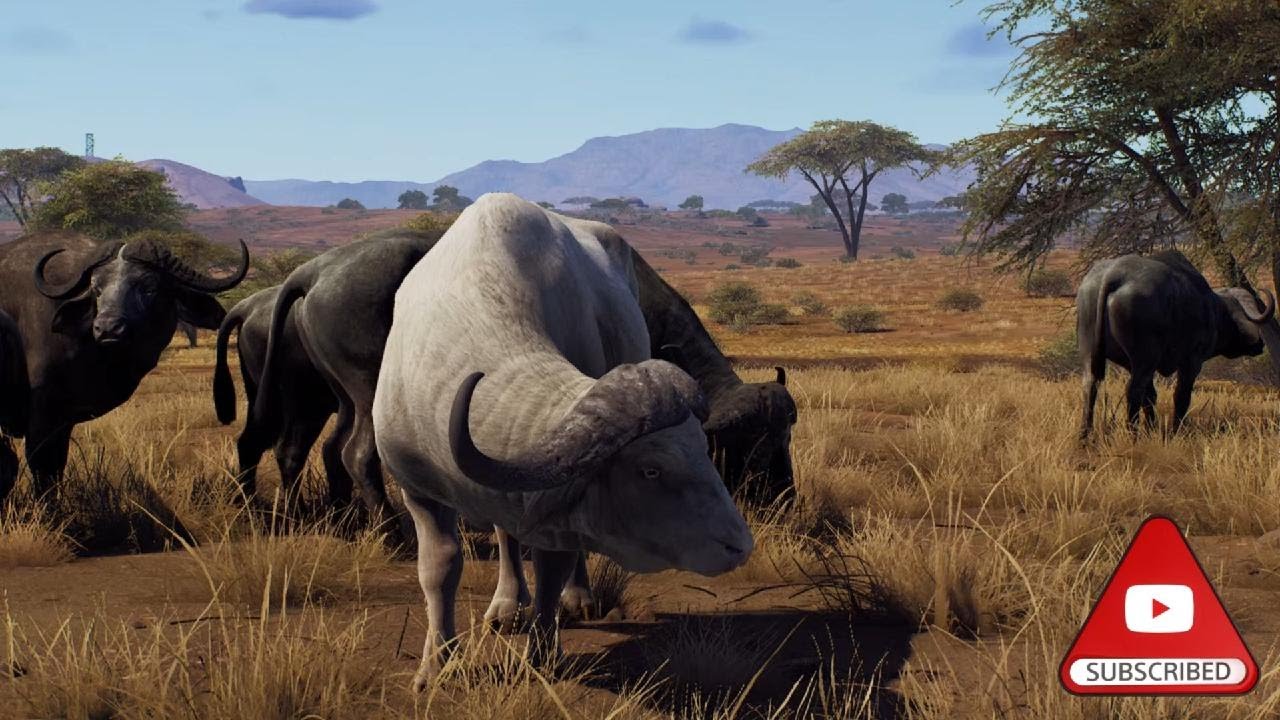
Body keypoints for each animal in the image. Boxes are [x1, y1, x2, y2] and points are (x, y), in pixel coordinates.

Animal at [0, 231, 247, 501]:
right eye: (97, 289)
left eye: (149, 287)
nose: (108, 328)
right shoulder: (42, 415)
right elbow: (41, 467)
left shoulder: (63, 420)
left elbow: (54, 466)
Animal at [1077, 250, 1274, 438]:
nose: (1260, 344)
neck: (1213, 310)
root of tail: (1113, 274)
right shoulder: (1191, 362)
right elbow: (1181, 396)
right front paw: (1176, 431)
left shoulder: (1133, 365)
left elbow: (1151, 396)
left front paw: (1152, 429)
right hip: (1144, 360)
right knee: (1133, 390)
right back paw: (1132, 435)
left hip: (1092, 353)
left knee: (1091, 385)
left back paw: (1085, 436)